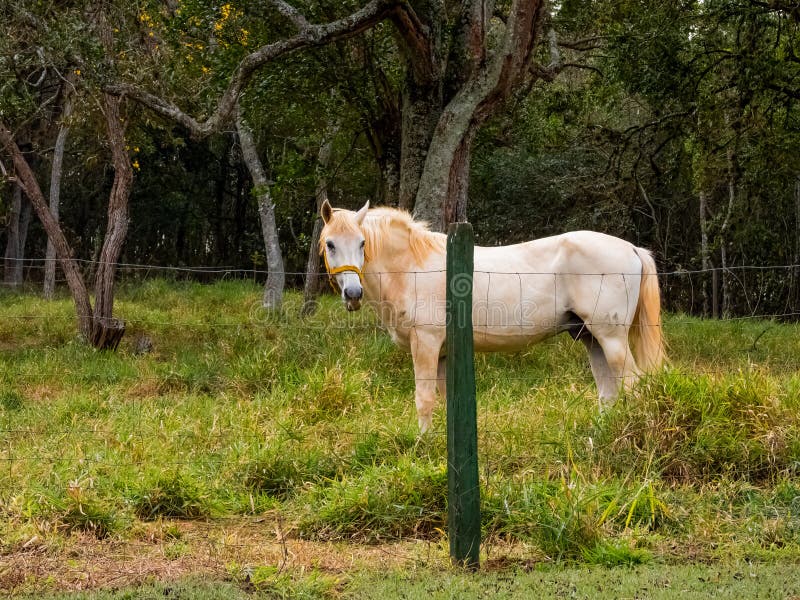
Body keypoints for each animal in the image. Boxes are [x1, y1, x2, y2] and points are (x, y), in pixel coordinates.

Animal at [319, 199, 665, 433]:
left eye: (362, 243)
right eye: (330, 244)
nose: (353, 294)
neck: (412, 267)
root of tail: (632, 249)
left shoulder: (426, 344)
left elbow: (424, 399)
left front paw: (421, 445)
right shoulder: (443, 354)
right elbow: (446, 402)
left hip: (611, 338)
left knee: (633, 384)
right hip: (590, 338)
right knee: (608, 392)